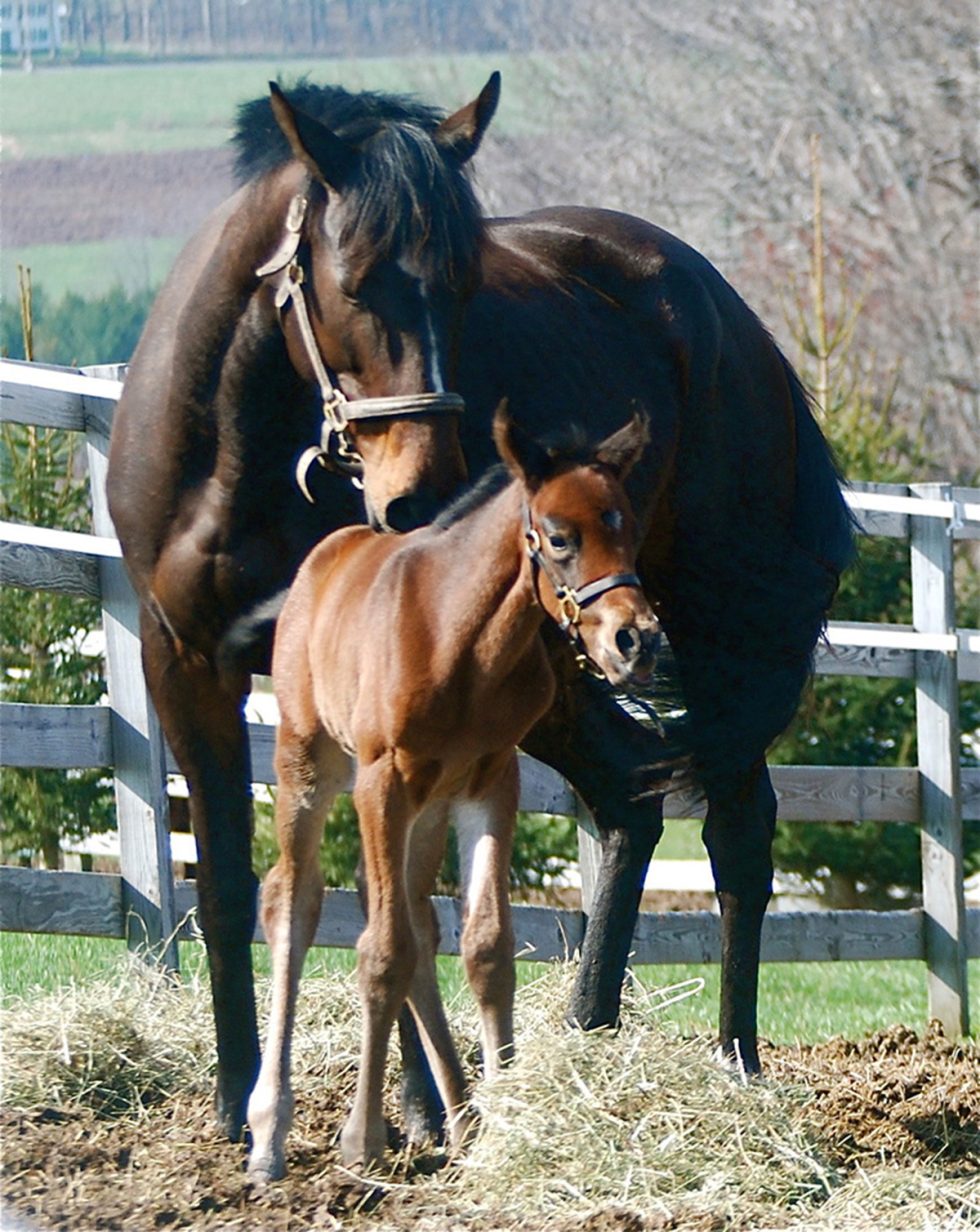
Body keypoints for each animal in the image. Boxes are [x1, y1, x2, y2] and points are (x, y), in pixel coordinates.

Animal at [246, 405, 657, 1178]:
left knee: (416, 917)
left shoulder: (491, 780)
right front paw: (361, 1141)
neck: (459, 639)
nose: (636, 640)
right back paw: (268, 1131)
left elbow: (485, 947)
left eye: (628, 527)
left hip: (429, 802)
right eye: (560, 536)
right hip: (309, 764)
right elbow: (380, 951)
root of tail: (327, 555)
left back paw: (462, 1120)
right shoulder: (381, 778)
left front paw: (505, 1125)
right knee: (294, 899)